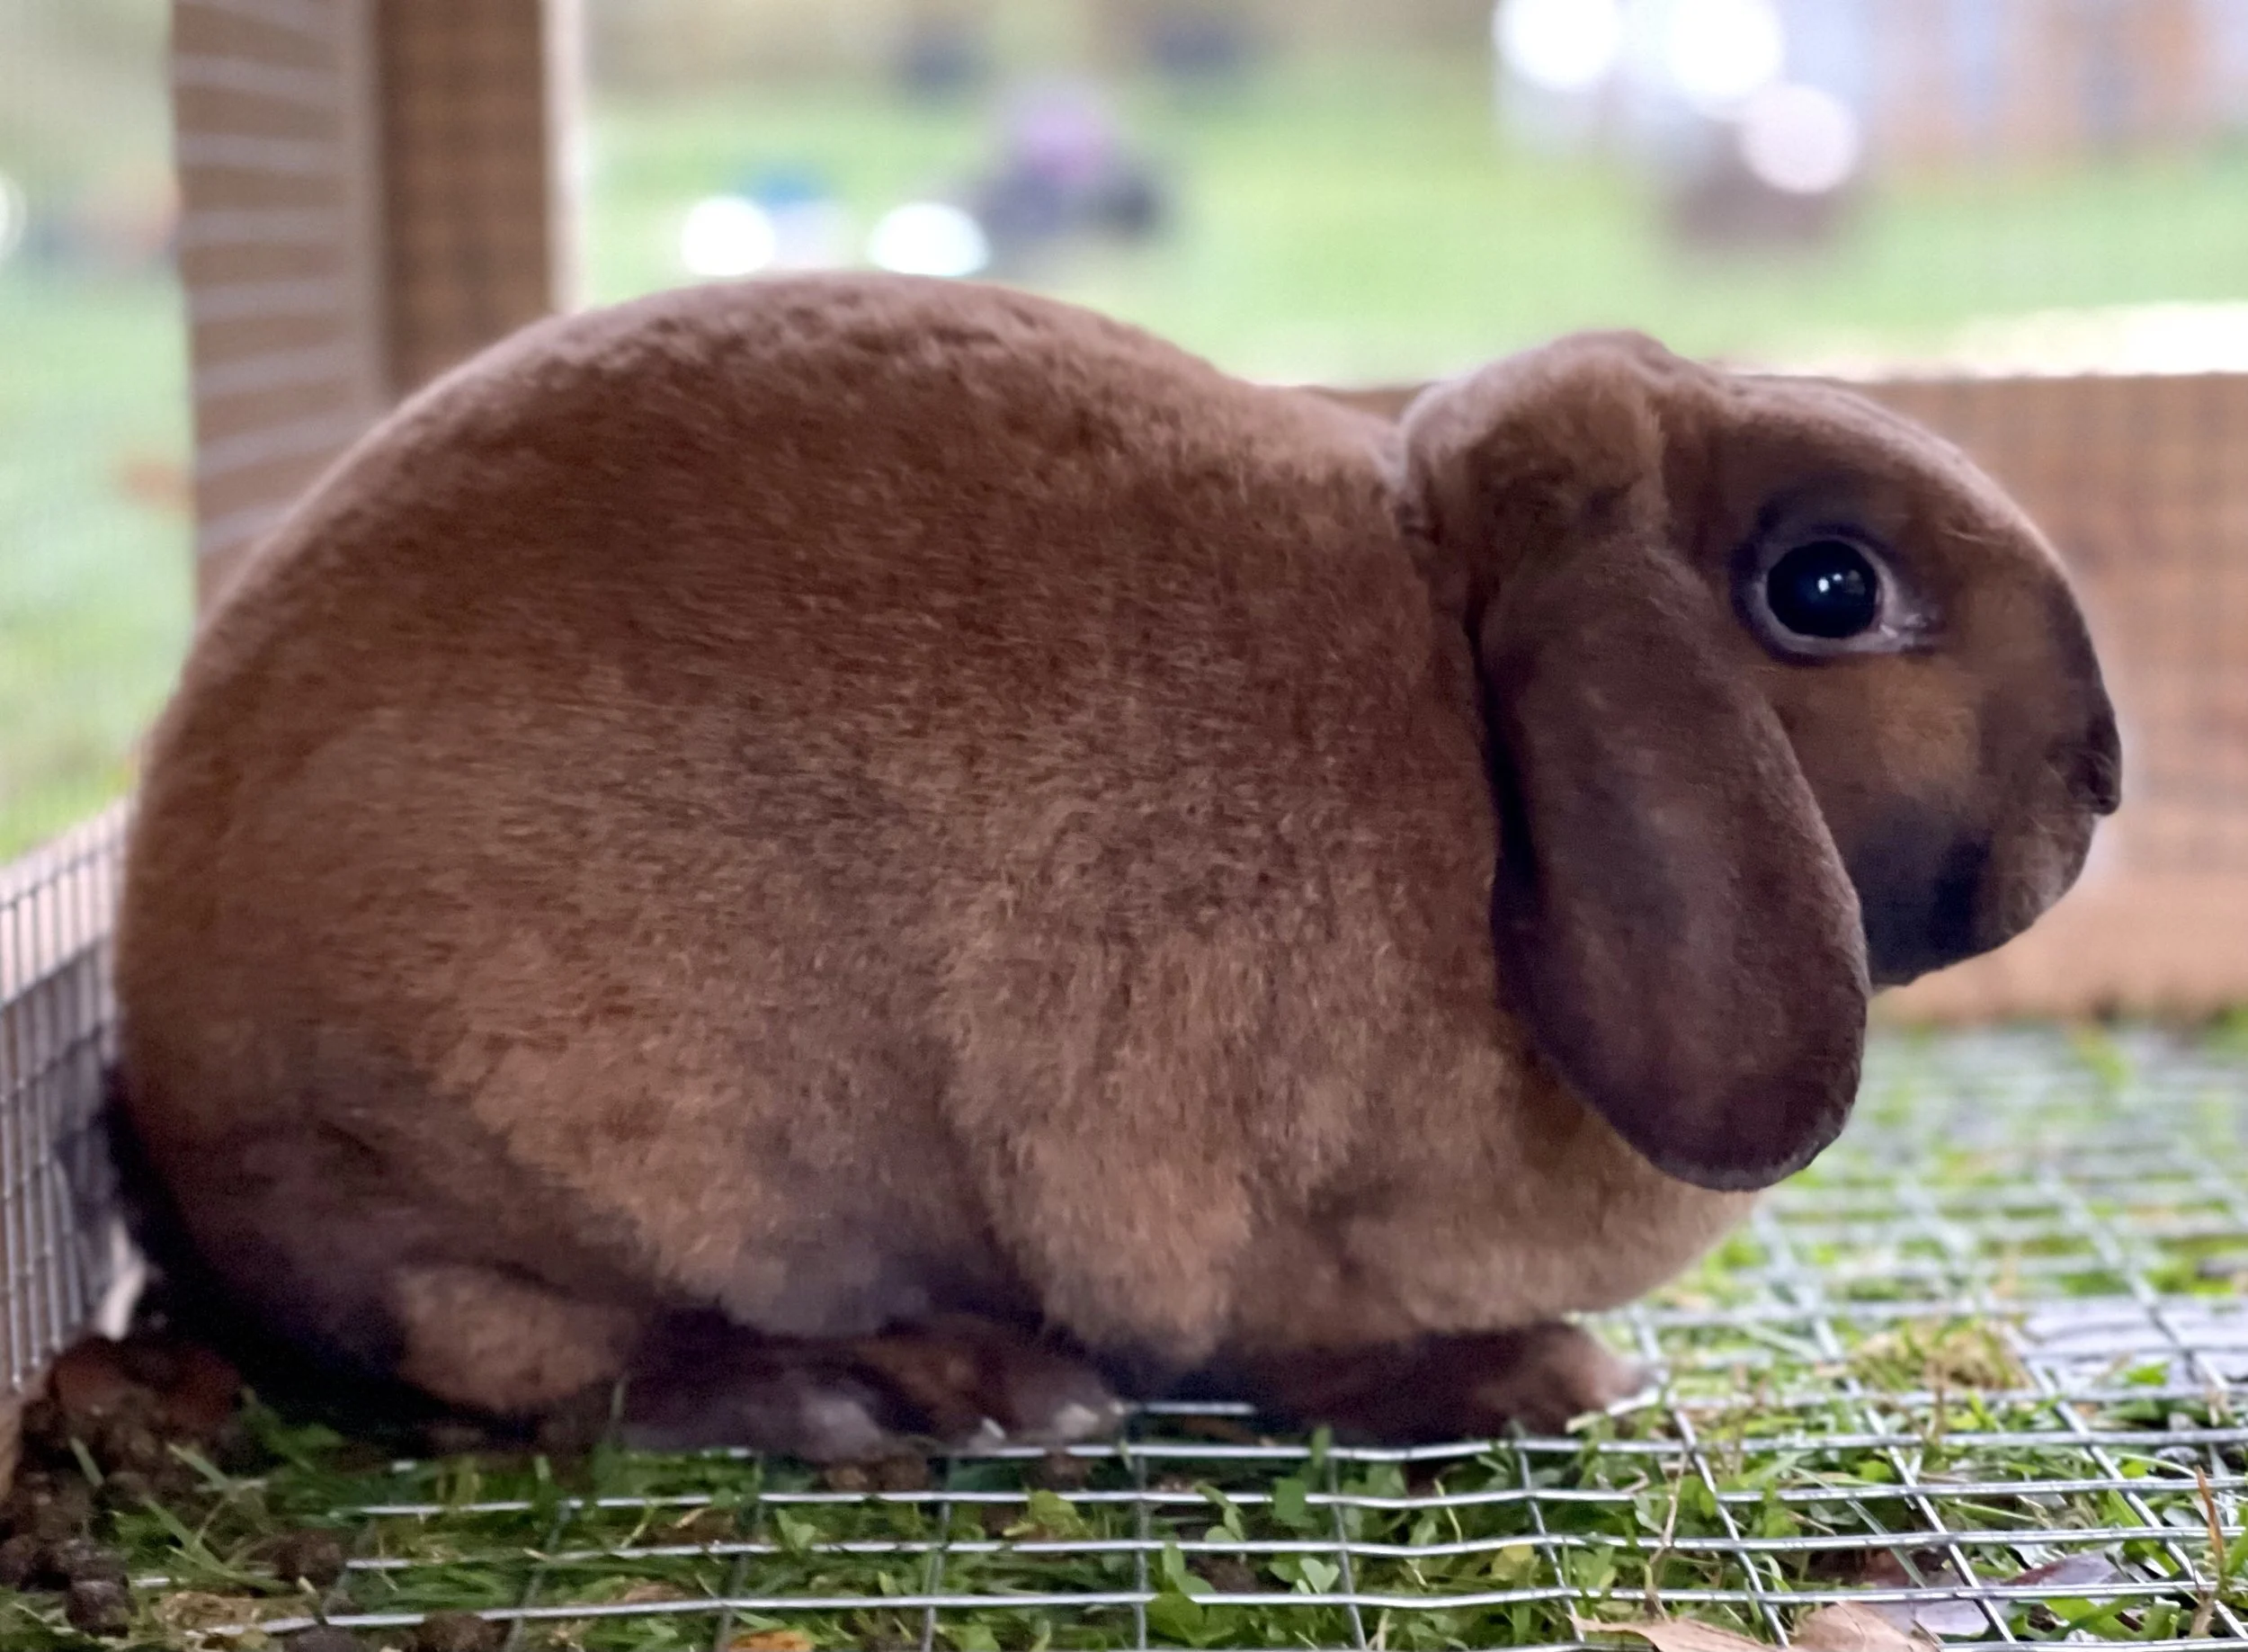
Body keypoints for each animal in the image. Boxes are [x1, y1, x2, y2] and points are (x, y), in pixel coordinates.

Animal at [113, 273, 2119, 1457]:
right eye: (1826, 587)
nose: (2100, 772)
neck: (1470, 724)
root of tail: (170, 1111)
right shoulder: (1250, 1221)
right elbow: (1286, 1343)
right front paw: (1539, 1379)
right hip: (526, 1160)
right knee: (498, 1352)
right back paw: (905, 1390)